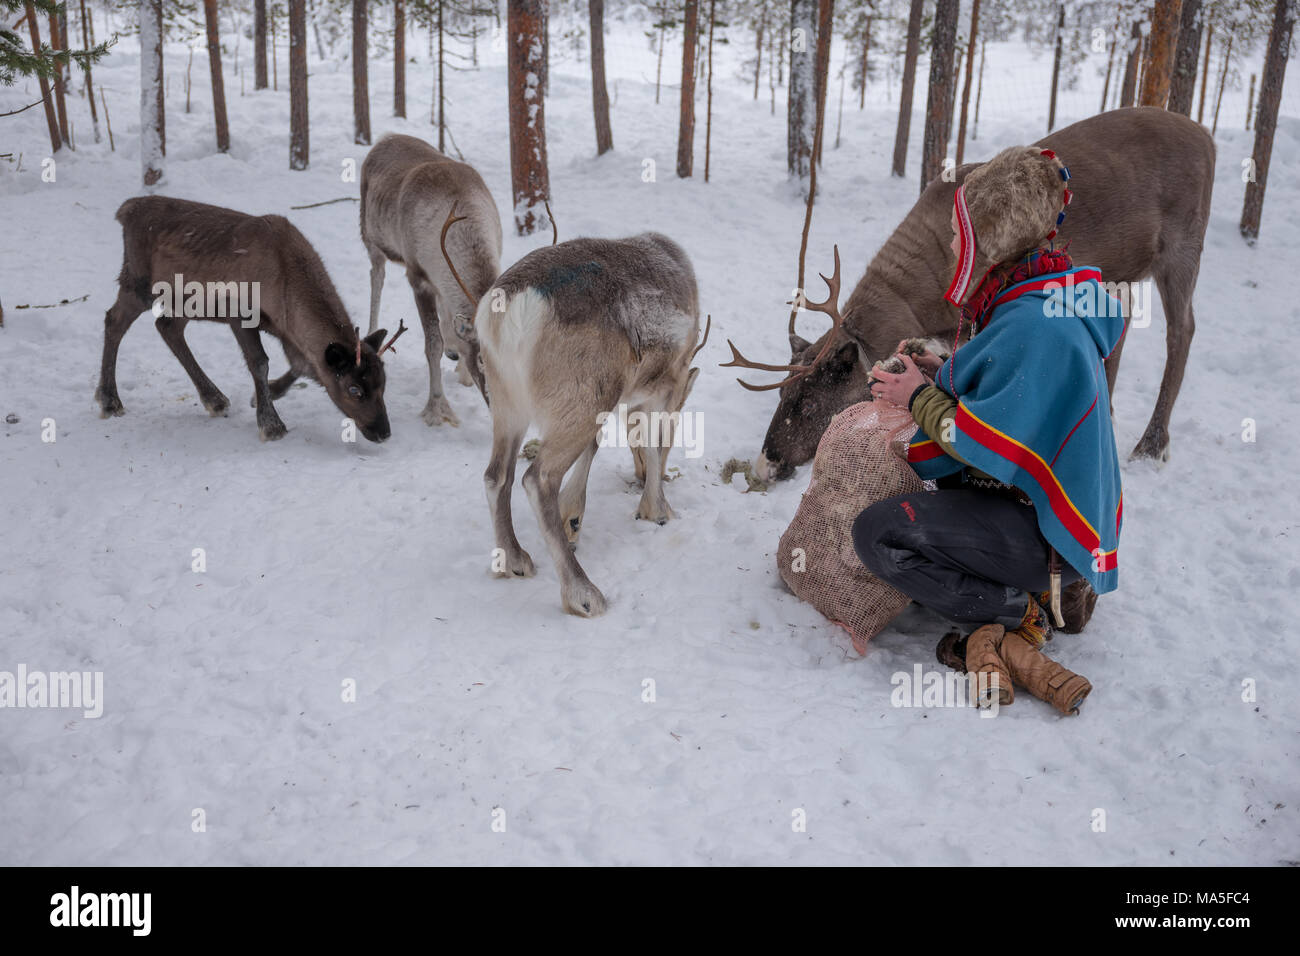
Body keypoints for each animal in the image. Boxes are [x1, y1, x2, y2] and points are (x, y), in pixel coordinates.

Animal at [96, 196, 404, 443]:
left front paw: (266, 394)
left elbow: (302, 364)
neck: (286, 283)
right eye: (354, 389)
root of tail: (125, 210)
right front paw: (271, 424)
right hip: (139, 283)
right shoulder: (239, 311)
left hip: (186, 303)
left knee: (167, 327)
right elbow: (259, 362)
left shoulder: (286, 331)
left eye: (383, 382)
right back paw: (109, 400)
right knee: (114, 320)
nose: (383, 432)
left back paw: (214, 399)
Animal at [360, 133, 503, 426]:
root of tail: (385, 138)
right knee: (376, 277)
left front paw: (461, 369)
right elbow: (432, 346)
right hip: (371, 237)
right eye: (482, 361)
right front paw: (437, 408)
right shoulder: (418, 278)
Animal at [441, 210, 709, 617]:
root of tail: (510, 308)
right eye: (680, 425)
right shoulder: (668, 383)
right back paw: (584, 594)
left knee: (496, 475)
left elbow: (601, 444)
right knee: (537, 479)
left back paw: (514, 561)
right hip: (582, 399)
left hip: (509, 403)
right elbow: (650, 442)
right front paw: (657, 511)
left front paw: (575, 519)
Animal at [725, 107, 1215, 482]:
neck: (926, 299)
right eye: (781, 397)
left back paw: (1152, 445)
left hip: (1182, 248)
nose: (764, 465)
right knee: (1123, 330)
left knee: (1183, 330)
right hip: (1123, 274)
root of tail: (1208, 138)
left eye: (809, 403)